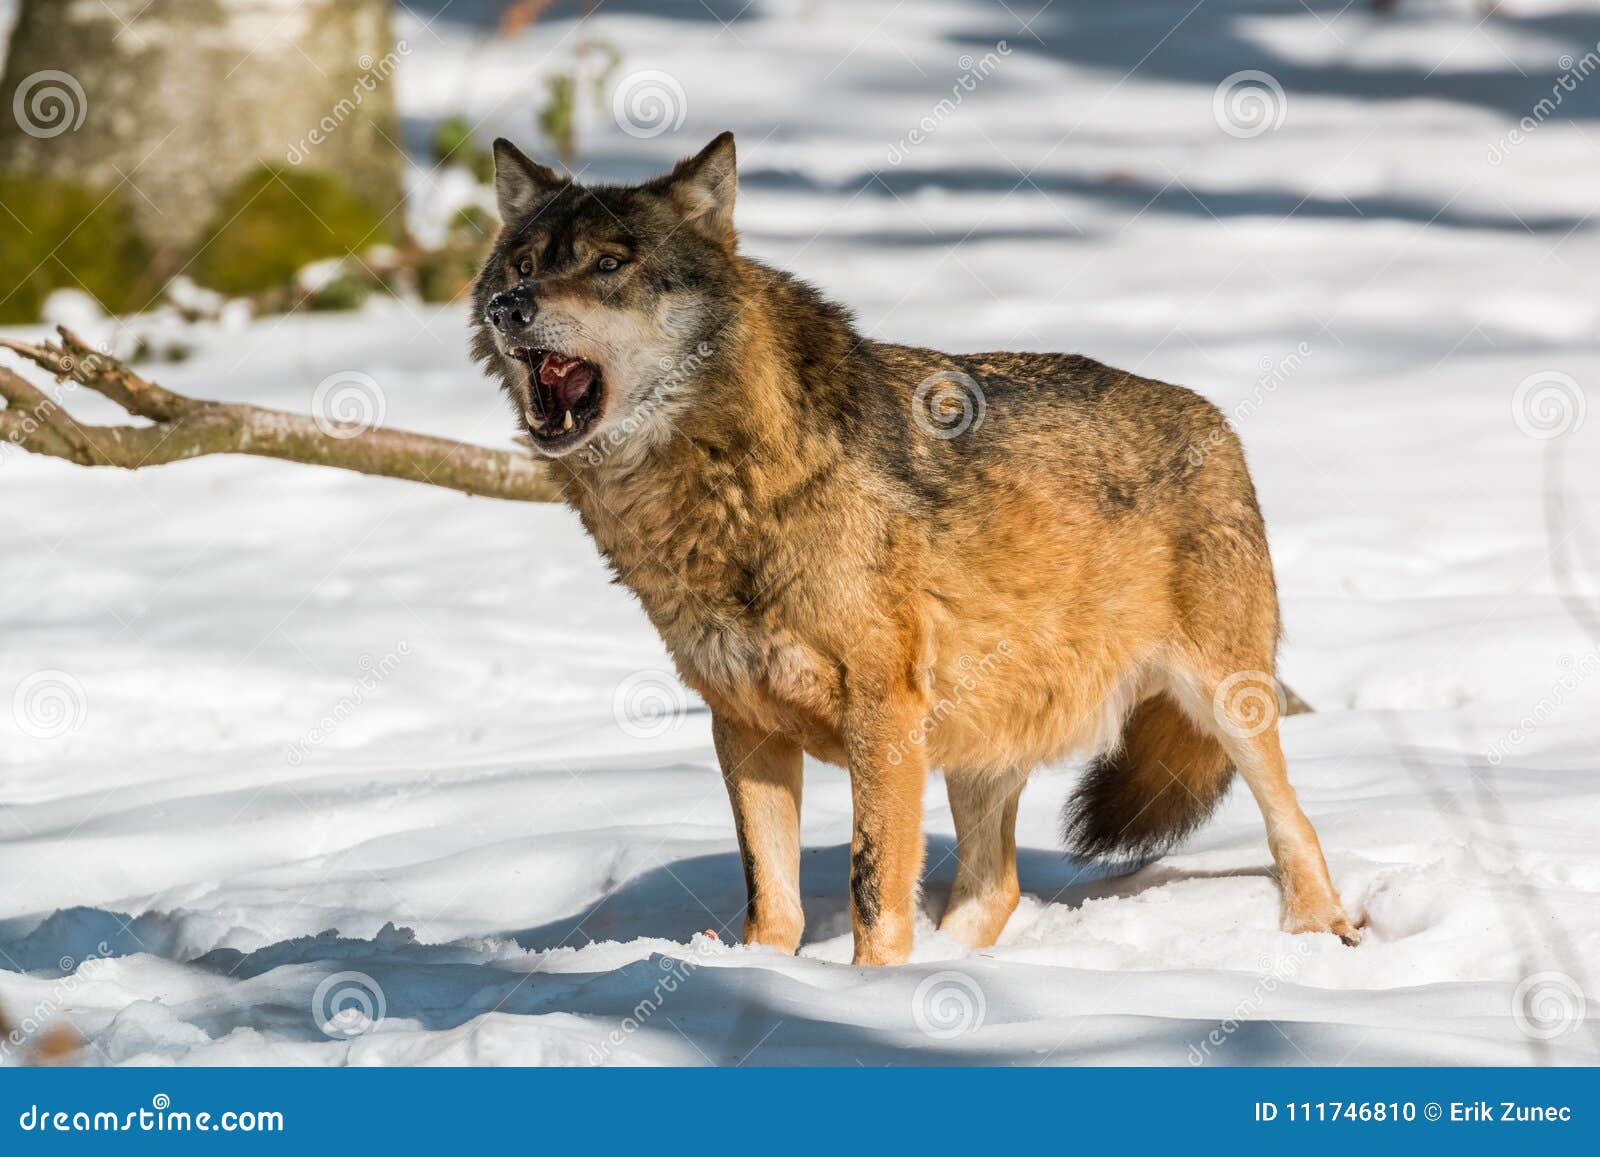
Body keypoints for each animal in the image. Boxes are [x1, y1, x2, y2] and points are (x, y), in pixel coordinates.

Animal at [471, 132, 1358, 966]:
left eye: (608, 264)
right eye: (523, 264)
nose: (509, 306)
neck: (725, 476)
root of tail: (1218, 423)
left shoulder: (882, 713)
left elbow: (873, 884)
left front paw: (866, 988)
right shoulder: (742, 721)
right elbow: (771, 896)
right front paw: (764, 979)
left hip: (1223, 700)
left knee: (1296, 820)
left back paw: (1318, 932)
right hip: (979, 740)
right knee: (996, 886)